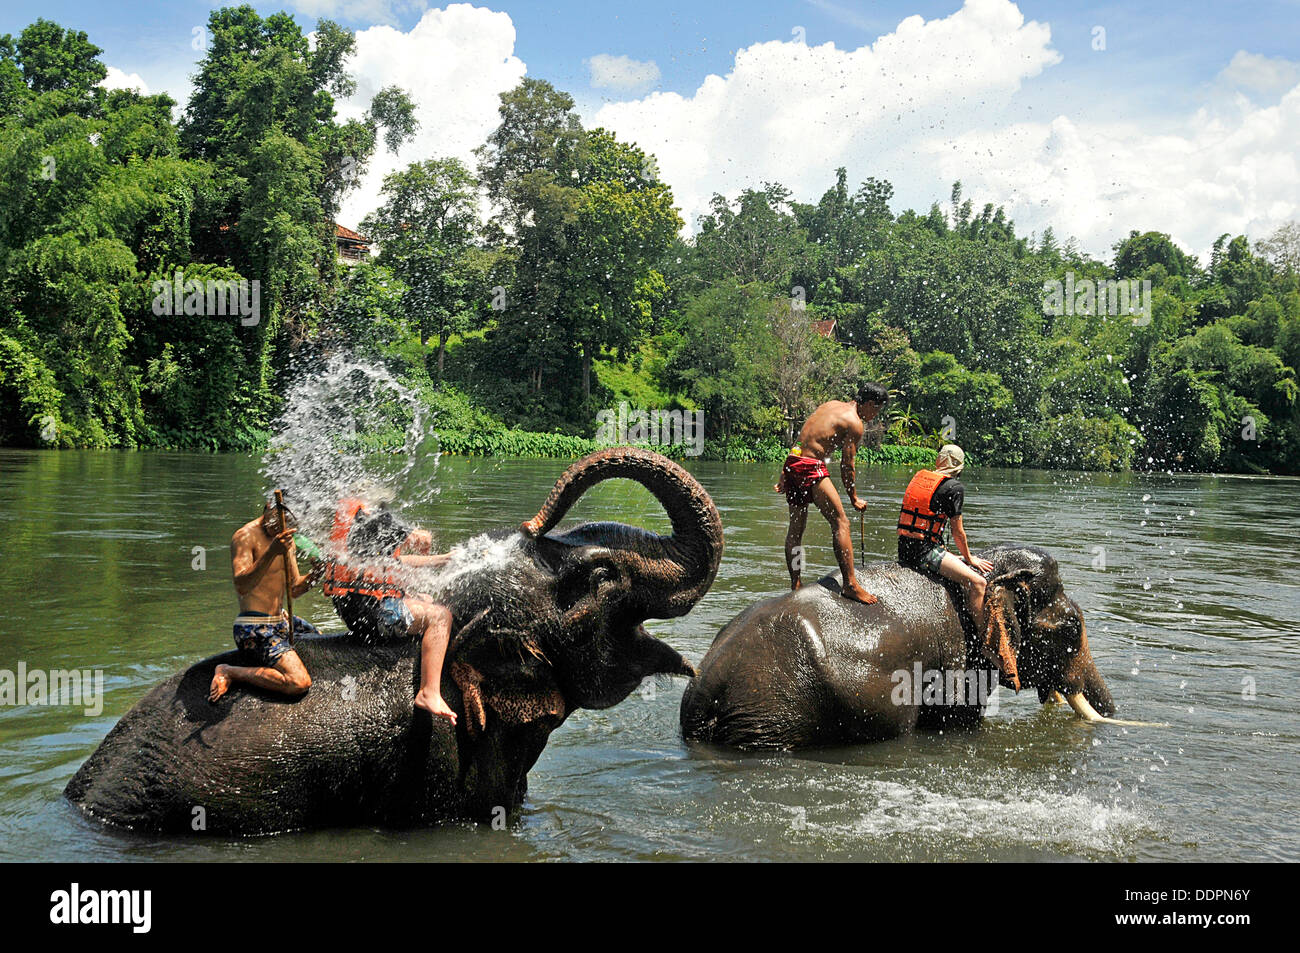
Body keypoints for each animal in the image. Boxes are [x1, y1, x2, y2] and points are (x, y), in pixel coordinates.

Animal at [680, 544, 1150, 750]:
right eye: (1072, 628)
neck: (984, 568)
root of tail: (704, 689)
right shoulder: (960, 662)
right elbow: (959, 721)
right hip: (771, 719)